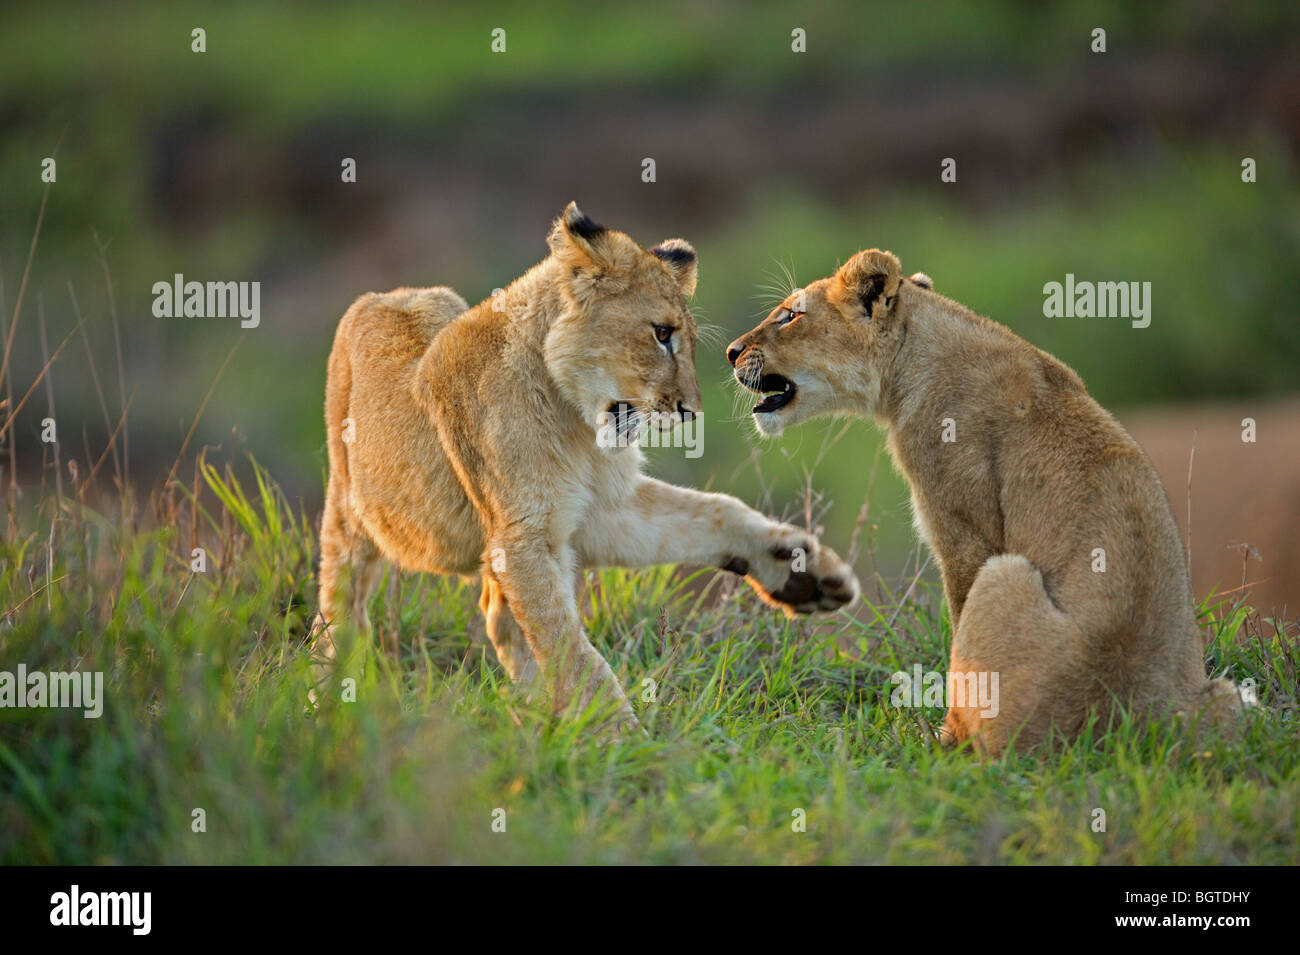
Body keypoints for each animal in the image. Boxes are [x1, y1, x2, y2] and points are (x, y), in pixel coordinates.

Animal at [313, 203, 859, 731]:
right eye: (662, 334)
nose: (691, 413)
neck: (576, 425)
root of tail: (380, 295)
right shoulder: (526, 537)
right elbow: (571, 649)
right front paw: (616, 736)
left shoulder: (601, 512)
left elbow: (713, 512)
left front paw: (802, 572)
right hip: (349, 508)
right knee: (340, 600)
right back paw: (329, 694)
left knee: (495, 611)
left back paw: (532, 705)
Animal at [726, 248, 1244, 753]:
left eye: (791, 314)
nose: (730, 352)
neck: (911, 359)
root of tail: (1118, 728)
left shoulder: (964, 536)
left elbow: (958, 637)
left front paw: (943, 736)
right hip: (1229, 698)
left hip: (1004, 573)